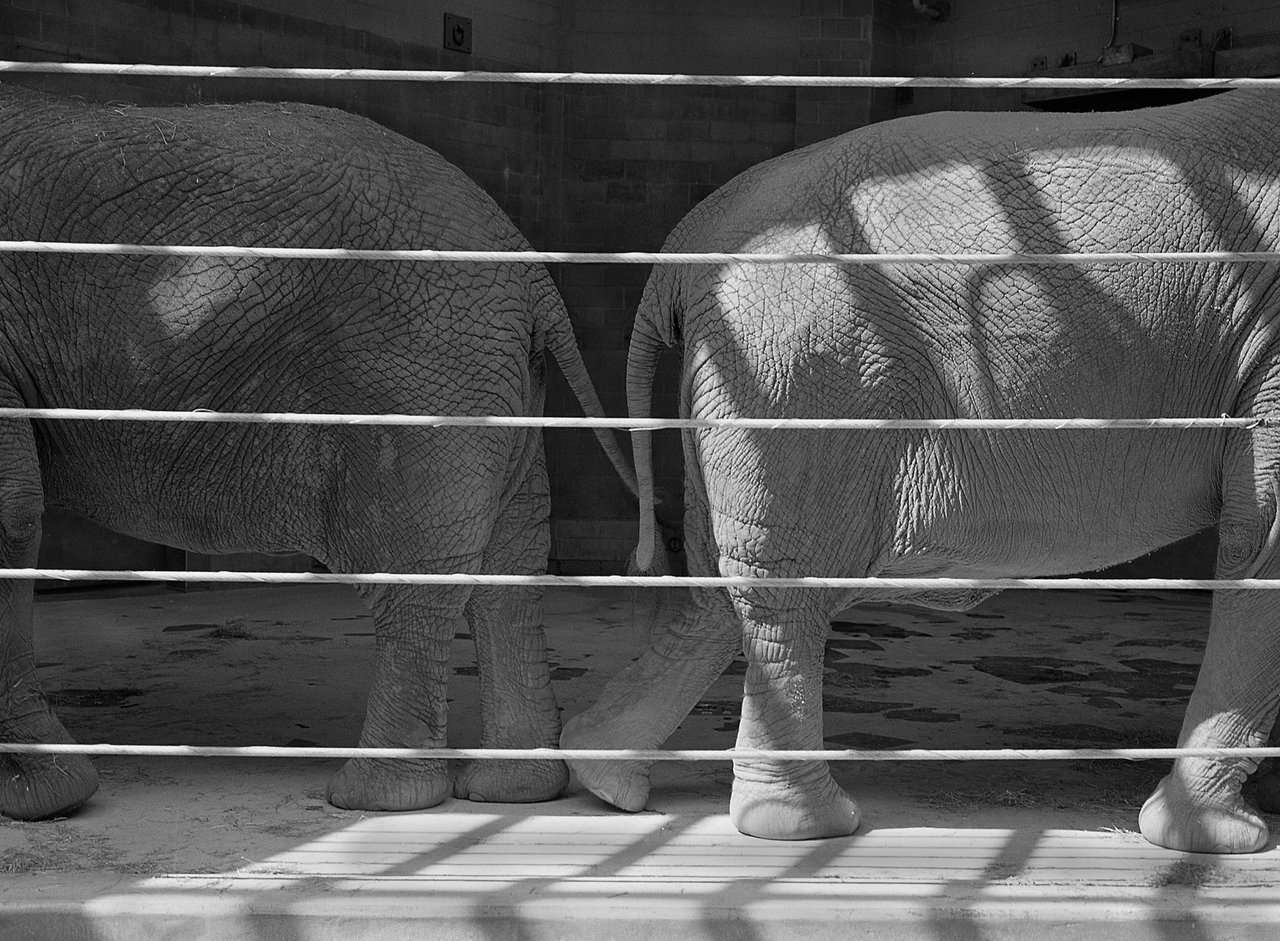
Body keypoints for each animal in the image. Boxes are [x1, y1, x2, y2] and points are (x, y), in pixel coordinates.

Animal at [0, 81, 638, 820]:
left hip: (413, 371)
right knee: (511, 562)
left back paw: (374, 798)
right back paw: (508, 790)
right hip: (485, 378)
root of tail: (530, 271)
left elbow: (8, 507)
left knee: (413, 563)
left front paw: (40, 797)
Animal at [561, 88, 1280, 854]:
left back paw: (606, 777)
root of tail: (687, 244)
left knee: (713, 590)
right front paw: (1222, 841)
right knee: (782, 588)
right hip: (807, 373)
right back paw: (801, 825)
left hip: (753, 376)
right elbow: (1263, 546)